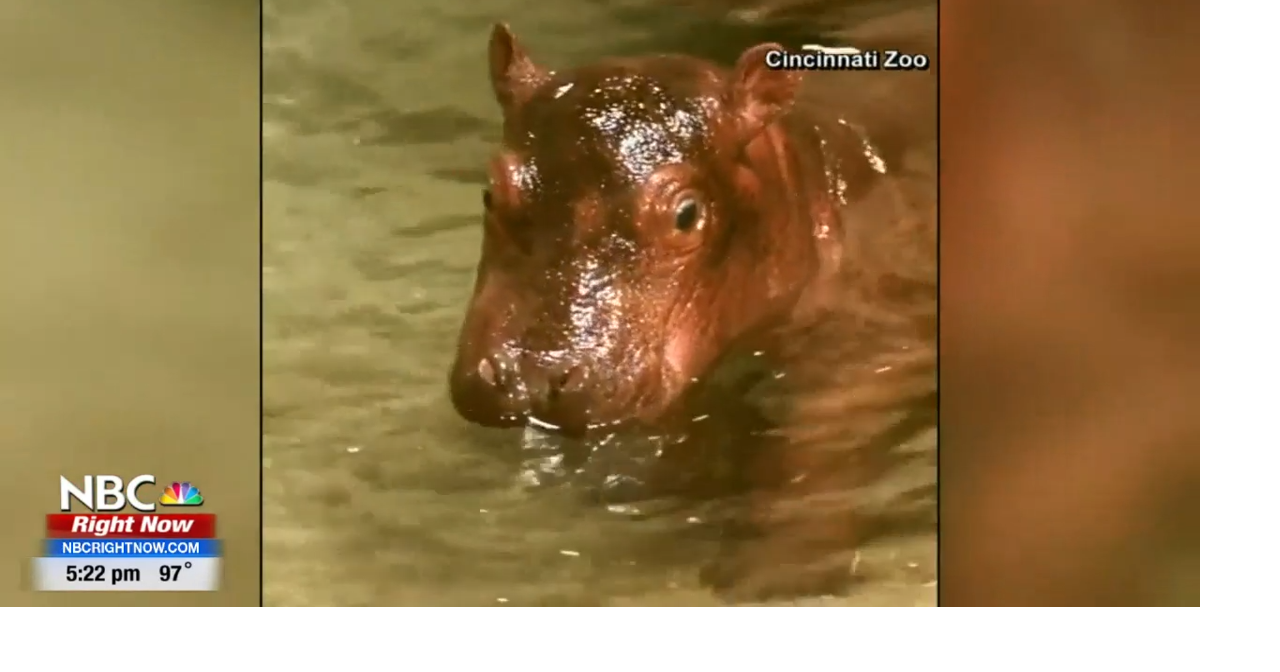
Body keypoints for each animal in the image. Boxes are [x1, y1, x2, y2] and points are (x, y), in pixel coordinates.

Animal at [448, 20, 936, 601]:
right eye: (490, 192)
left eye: (686, 213)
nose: (530, 376)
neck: (815, 169)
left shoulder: (880, 340)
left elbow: (815, 442)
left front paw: (770, 576)